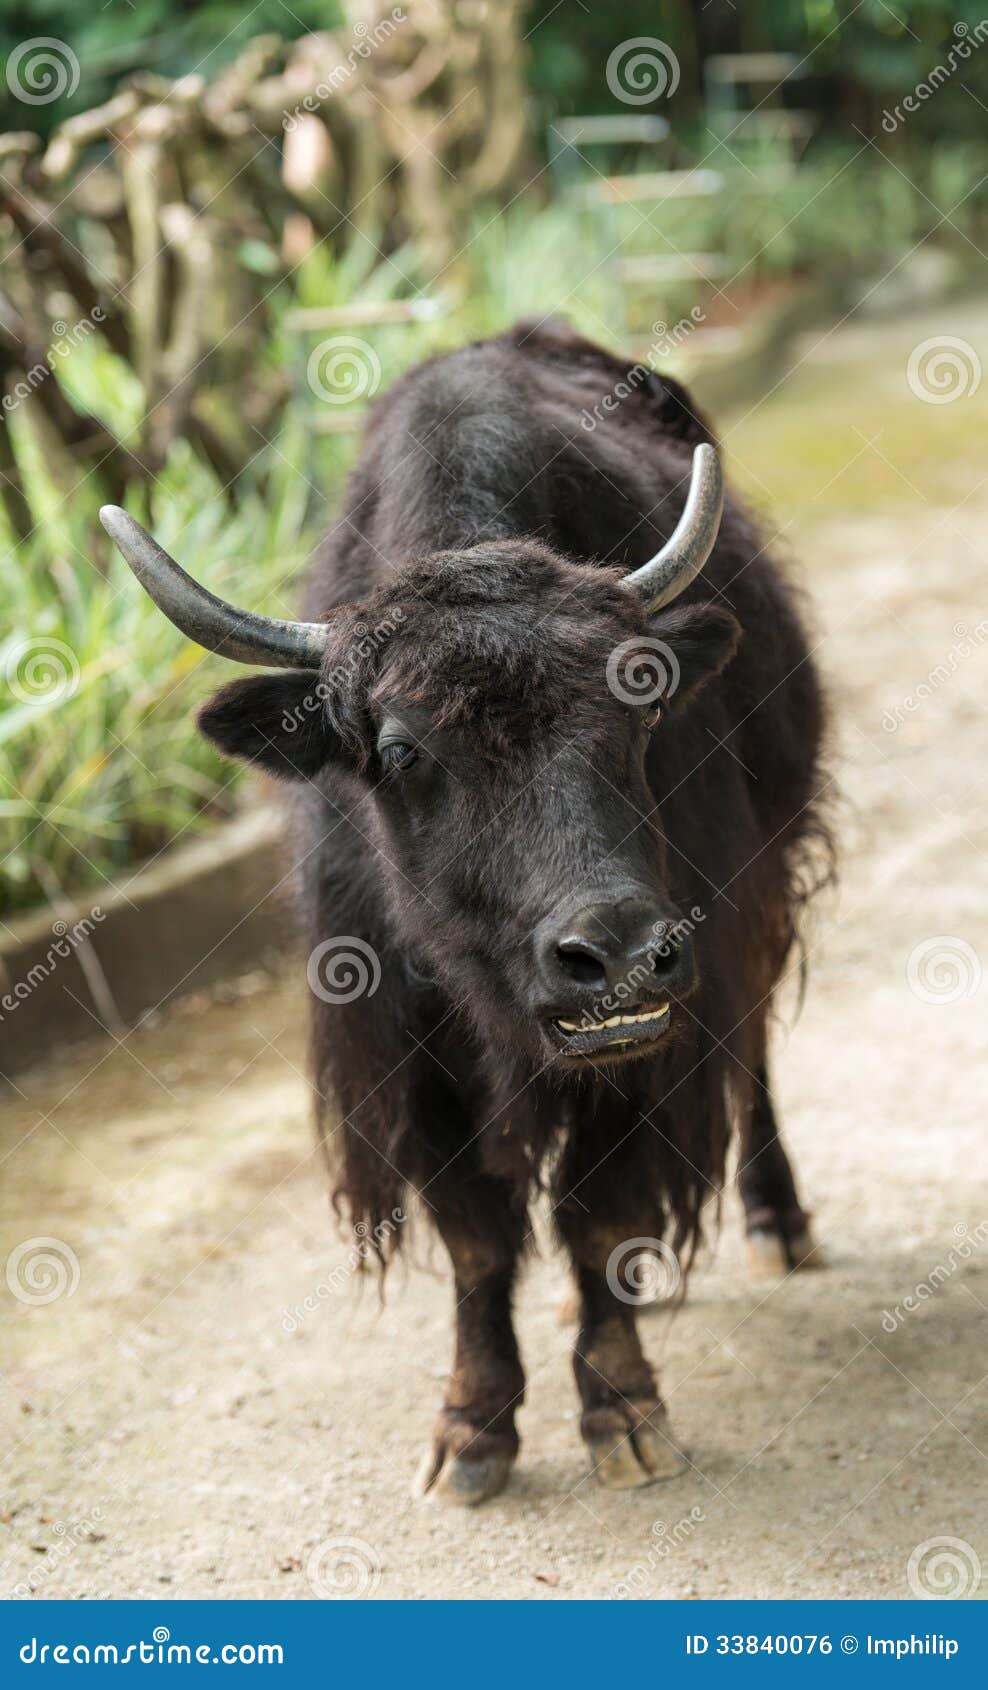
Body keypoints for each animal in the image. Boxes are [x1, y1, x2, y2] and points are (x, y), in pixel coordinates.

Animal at [100, 319, 832, 1505]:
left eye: (640, 707)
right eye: (402, 751)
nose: (619, 955)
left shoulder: (656, 1020)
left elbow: (600, 1201)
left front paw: (623, 1409)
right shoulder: (403, 1041)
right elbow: (476, 1232)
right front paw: (471, 1429)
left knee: (752, 1046)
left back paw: (779, 1222)